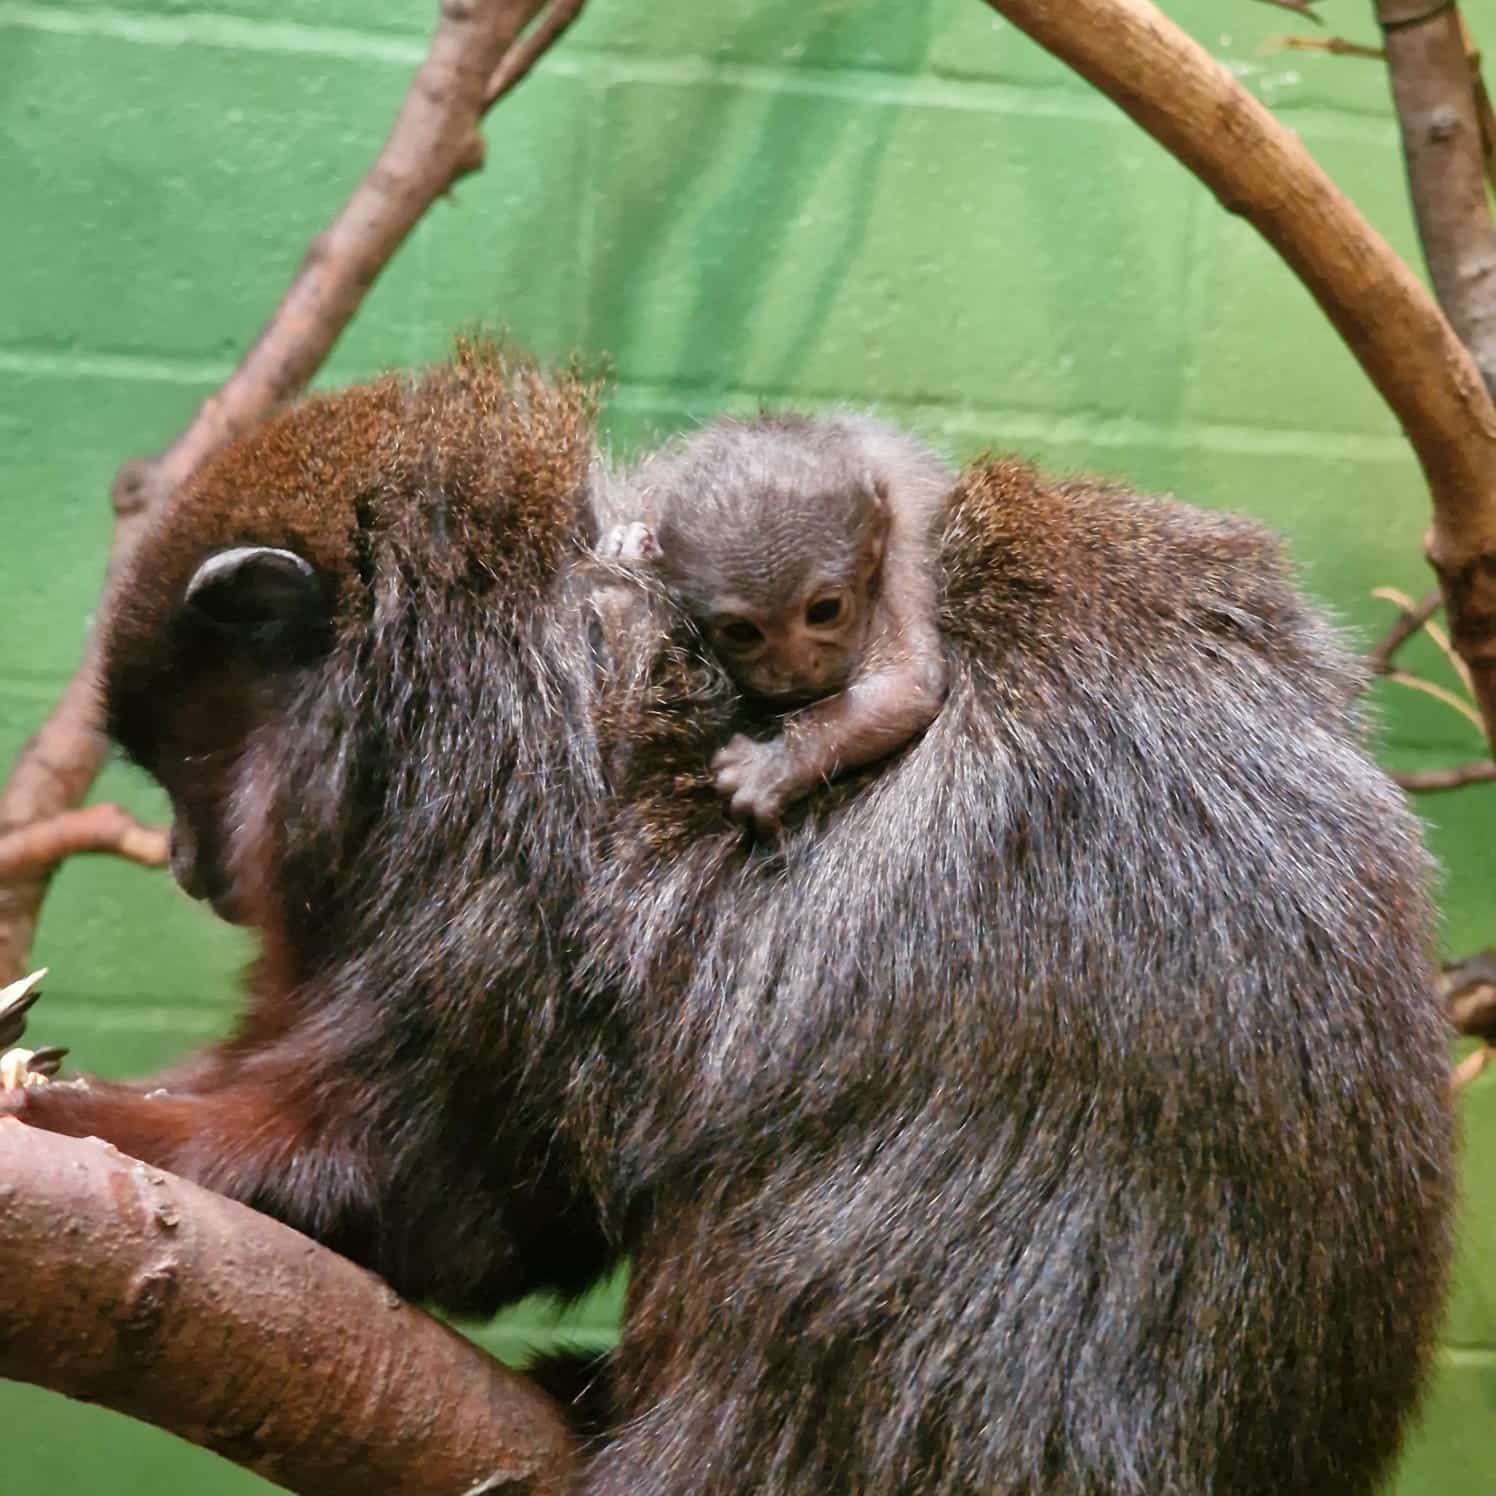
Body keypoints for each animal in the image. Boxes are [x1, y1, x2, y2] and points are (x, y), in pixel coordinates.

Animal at [597, 413, 952, 831]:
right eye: (741, 632)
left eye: (824, 611)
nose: (794, 668)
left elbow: (908, 679)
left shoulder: (908, 524)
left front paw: (777, 765)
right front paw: (626, 576)